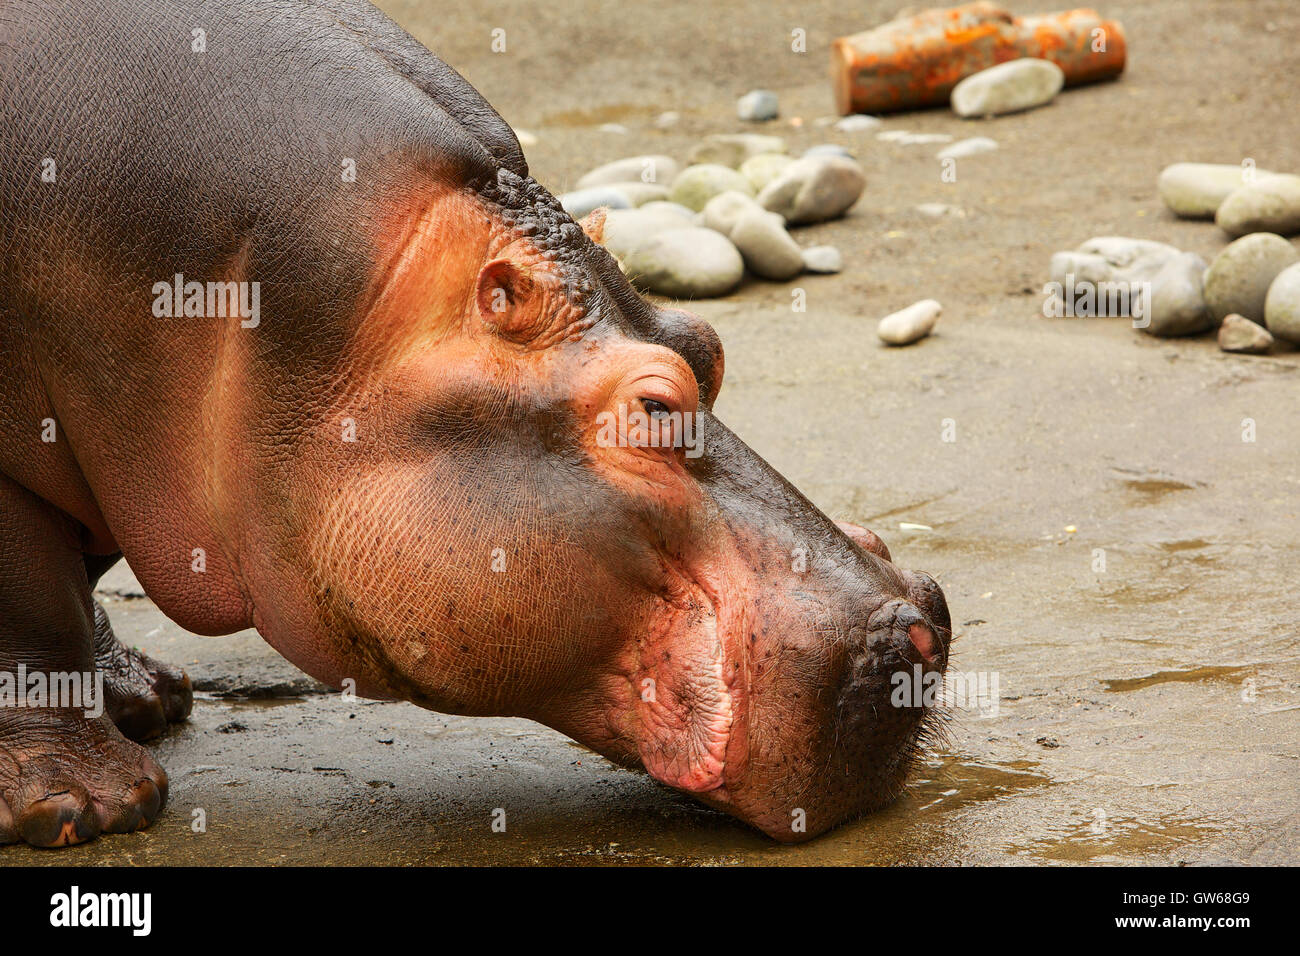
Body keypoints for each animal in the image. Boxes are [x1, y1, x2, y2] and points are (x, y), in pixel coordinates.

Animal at [0, 0, 950, 848]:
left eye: (707, 344)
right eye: (654, 408)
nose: (930, 619)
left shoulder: (98, 434)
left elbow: (80, 571)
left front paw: (145, 701)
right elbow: (36, 609)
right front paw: (90, 808)